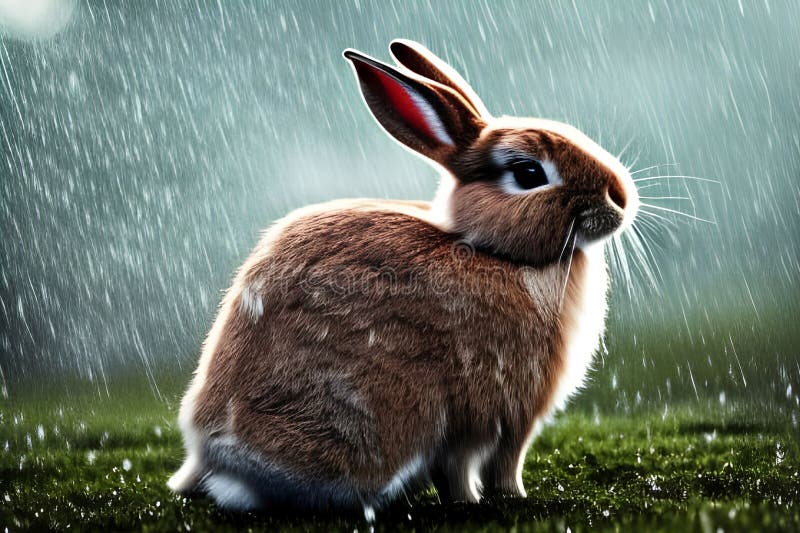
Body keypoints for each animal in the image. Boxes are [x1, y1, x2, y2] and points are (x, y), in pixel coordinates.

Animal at [167, 39, 639, 520]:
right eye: (529, 173)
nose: (619, 198)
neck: (496, 252)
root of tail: (209, 456)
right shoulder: (497, 412)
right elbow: (487, 465)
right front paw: (501, 499)